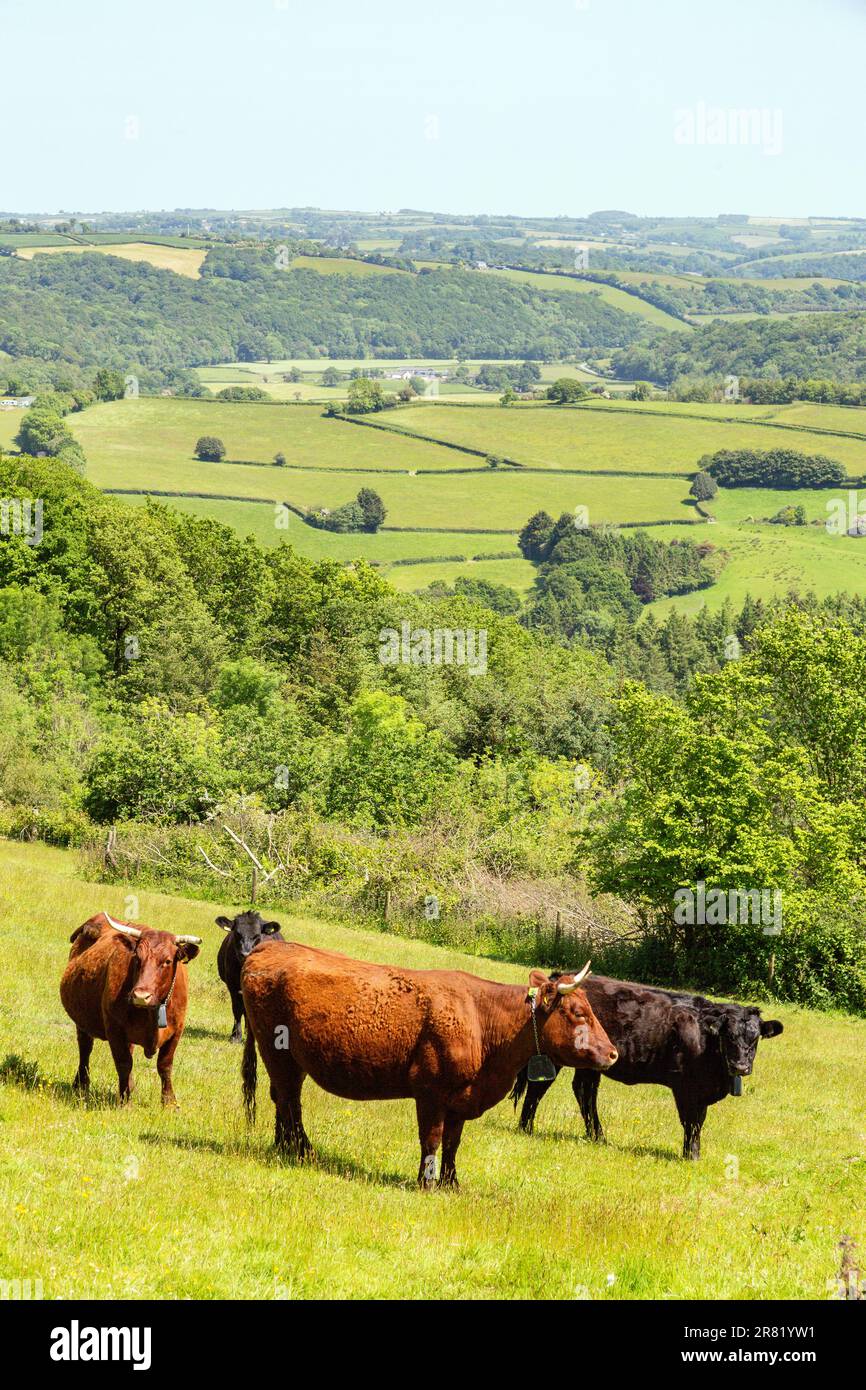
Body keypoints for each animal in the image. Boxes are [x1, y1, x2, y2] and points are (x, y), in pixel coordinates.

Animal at [59, 912, 201, 1107]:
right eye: (137, 958)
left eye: (167, 961)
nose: (141, 995)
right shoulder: (115, 1029)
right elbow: (124, 1063)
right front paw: (125, 1101)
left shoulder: (177, 1031)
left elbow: (164, 1065)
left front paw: (169, 1102)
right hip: (82, 1021)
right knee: (85, 1049)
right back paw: (81, 1084)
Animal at [216, 911, 284, 1041]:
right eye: (237, 933)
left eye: (257, 935)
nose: (245, 953)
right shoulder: (232, 985)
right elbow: (237, 1009)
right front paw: (236, 1036)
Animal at [240, 940, 618, 1188]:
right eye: (578, 1012)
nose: (614, 1053)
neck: (482, 1020)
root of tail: (267, 947)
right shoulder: (431, 1093)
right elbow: (432, 1140)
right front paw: (427, 1181)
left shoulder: (461, 1098)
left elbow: (452, 1142)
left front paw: (452, 1183)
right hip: (277, 1053)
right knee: (290, 1102)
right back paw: (303, 1152)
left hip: (290, 1060)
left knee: (282, 1100)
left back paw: (284, 1148)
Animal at [511, 974, 783, 1159]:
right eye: (728, 1036)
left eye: (755, 1038)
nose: (740, 1066)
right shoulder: (685, 1087)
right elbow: (691, 1121)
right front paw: (690, 1156)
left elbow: (699, 1120)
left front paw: (694, 1153)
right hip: (555, 1056)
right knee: (540, 1086)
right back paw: (526, 1128)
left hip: (590, 1064)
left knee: (584, 1092)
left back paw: (597, 1137)